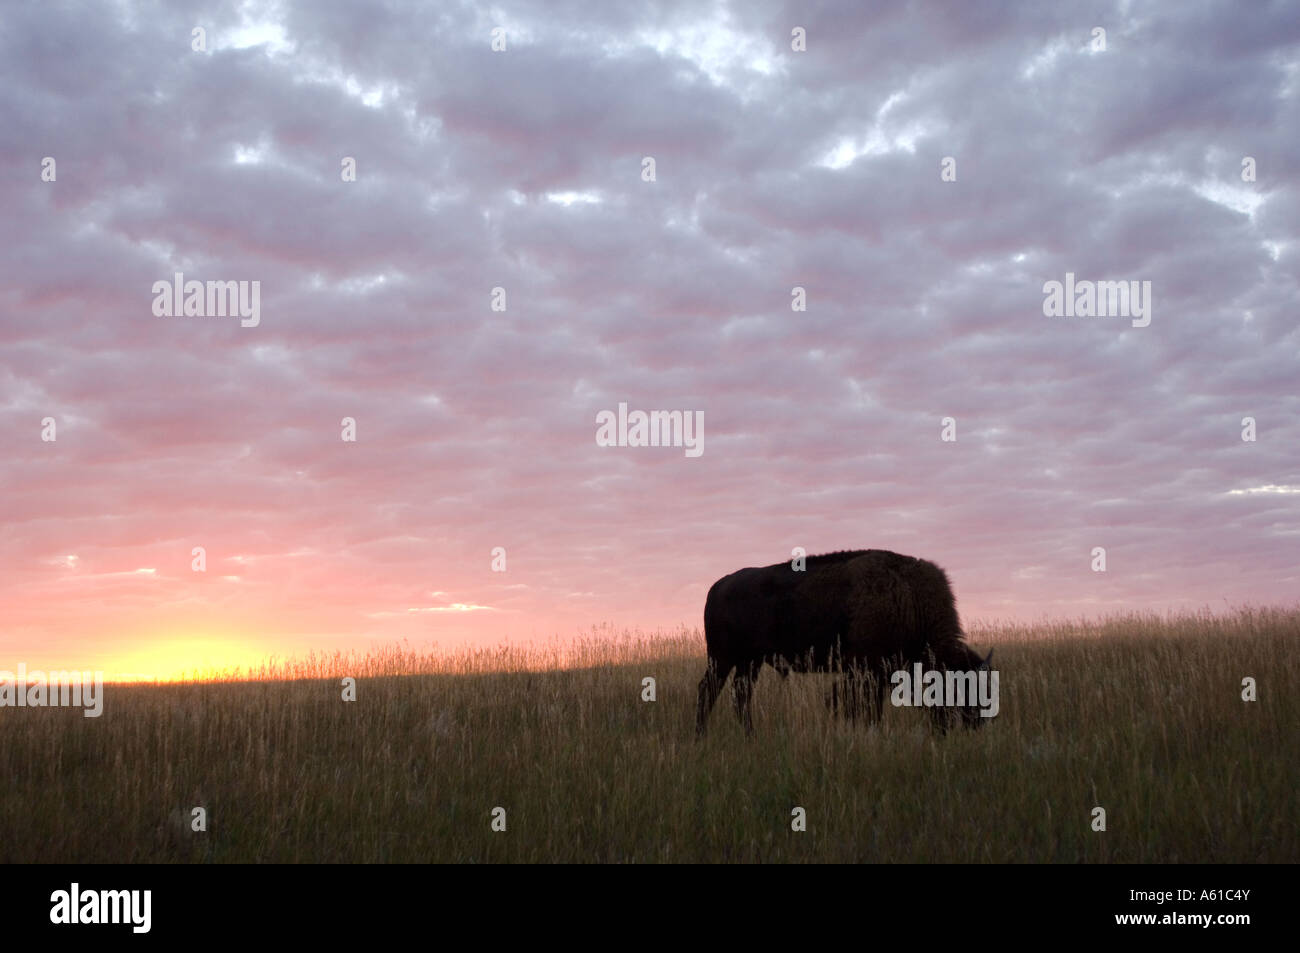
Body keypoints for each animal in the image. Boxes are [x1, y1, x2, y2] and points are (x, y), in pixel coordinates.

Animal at [696, 549, 992, 735]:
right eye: (960, 688)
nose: (976, 723)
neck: (909, 599)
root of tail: (717, 587)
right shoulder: (864, 672)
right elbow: (863, 709)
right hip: (722, 658)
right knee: (709, 690)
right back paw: (701, 736)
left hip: (749, 662)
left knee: (740, 695)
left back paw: (750, 736)